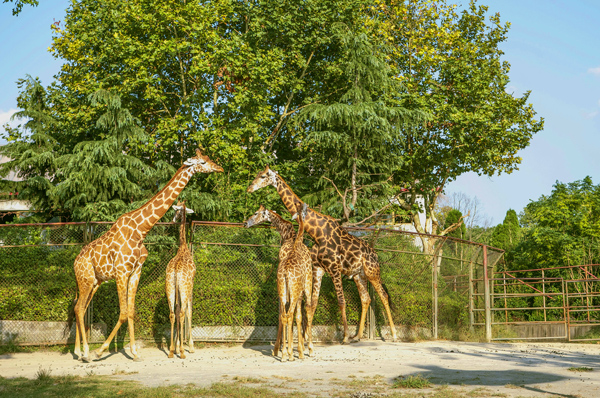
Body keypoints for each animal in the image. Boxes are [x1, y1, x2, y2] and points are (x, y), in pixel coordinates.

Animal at [73, 148, 223, 360]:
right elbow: (123, 312)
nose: (220, 168)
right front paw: (101, 350)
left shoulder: (136, 271)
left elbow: (130, 311)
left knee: (81, 307)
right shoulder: (122, 272)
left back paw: (78, 351)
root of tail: (75, 261)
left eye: (209, 158)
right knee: (79, 308)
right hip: (85, 279)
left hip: (94, 281)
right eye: (202, 162)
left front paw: (134, 352)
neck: (141, 230)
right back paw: (86, 352)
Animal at [243, 207, 314, 360]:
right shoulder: (301, 287)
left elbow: (290, 316)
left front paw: (285, 348)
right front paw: (294, 349)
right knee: (300, 312)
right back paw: (297, 350)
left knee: (288, 314)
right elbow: (298, 315)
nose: (245, 223)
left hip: (289, 289)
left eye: (256, 213)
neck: (289, 237)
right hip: (299, 288)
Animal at [246, 166, 396, 344]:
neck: (316, 233)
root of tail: (375, 254)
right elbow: (312, 303)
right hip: (358, 275)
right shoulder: (318, 268)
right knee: (366, 298)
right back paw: (358, 336)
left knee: (383, 295)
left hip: (372, 272)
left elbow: (341, 301)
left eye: (263, 176)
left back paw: (393, 335)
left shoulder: (334, 268)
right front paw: (305, 337)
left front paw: (345, 336)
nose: (249, 188)